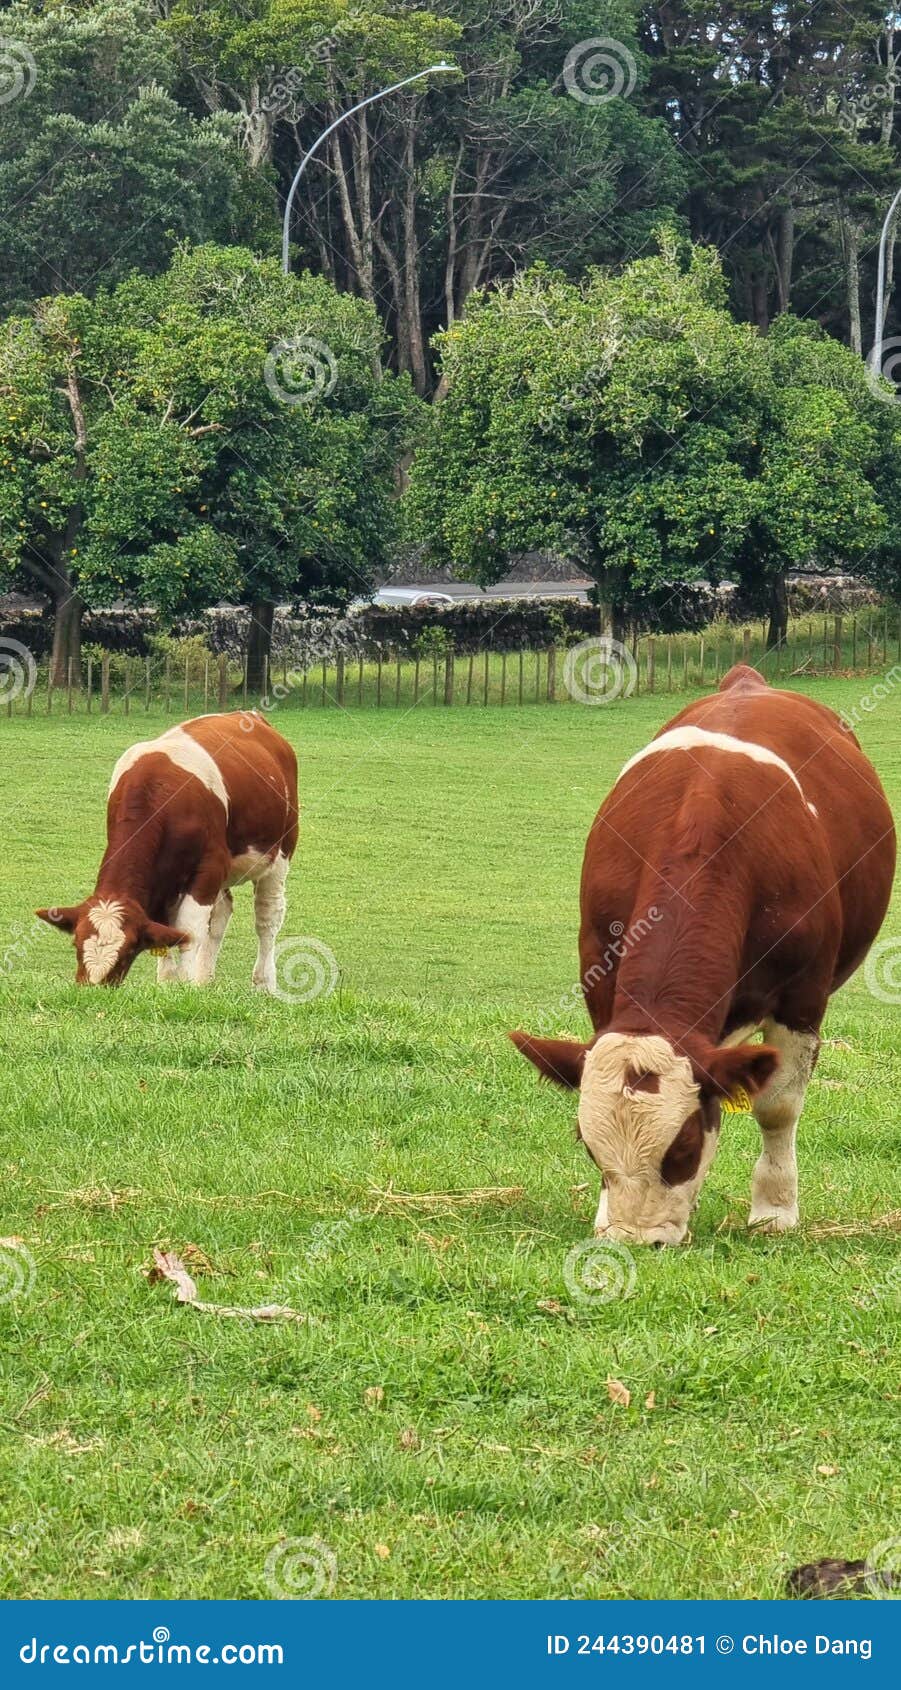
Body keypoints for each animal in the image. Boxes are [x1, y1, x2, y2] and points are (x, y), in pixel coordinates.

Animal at [37, 711, 298, 990]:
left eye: (128, 951)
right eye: (76, 944)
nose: (92, 989)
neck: (155, 789)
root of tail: (249, 715)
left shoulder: (210, 867)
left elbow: (188, 931)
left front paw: (185, 985)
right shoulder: (161, 878)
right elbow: (166, 930)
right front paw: (168, 983)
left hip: (279, 854)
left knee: (267, 917)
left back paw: (264, 984)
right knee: (221, 914)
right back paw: (204, 979)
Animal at [510, 666, 895, 1246]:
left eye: (684, 1147)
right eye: (588, 1146)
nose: (635, 1241)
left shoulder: (803, 994)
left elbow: (778, 1107)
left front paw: (774, 1210)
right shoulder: (598, 968)